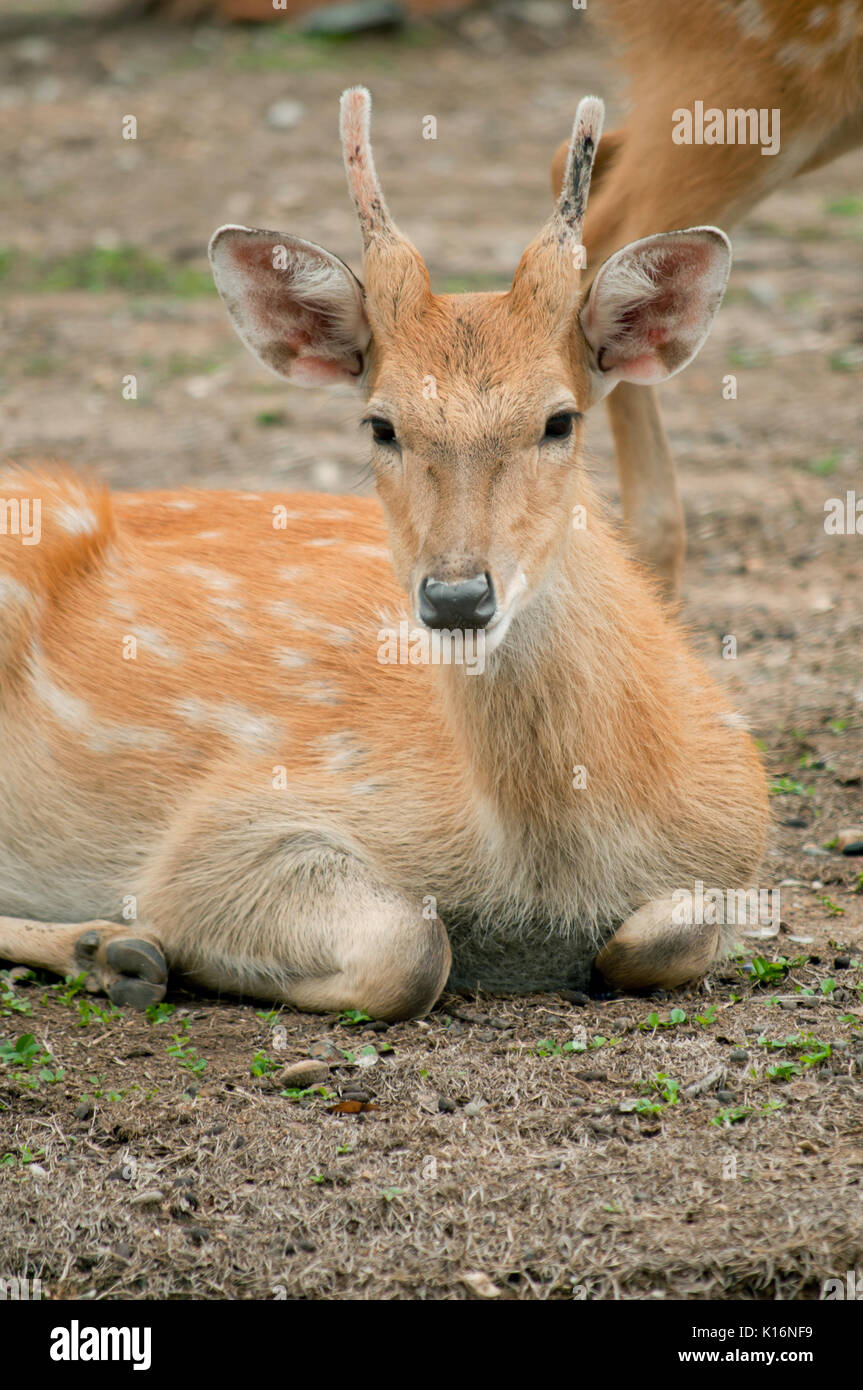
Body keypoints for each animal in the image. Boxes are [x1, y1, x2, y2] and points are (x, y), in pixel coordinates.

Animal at [0, 88, 768, 1021]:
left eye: (559, 420)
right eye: (380, 424)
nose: (456, 597)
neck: (543, 876)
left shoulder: (738, 834)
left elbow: (670, 934)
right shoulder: (227, 823)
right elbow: (411, 947)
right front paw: (173, 950)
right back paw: (114, 951)